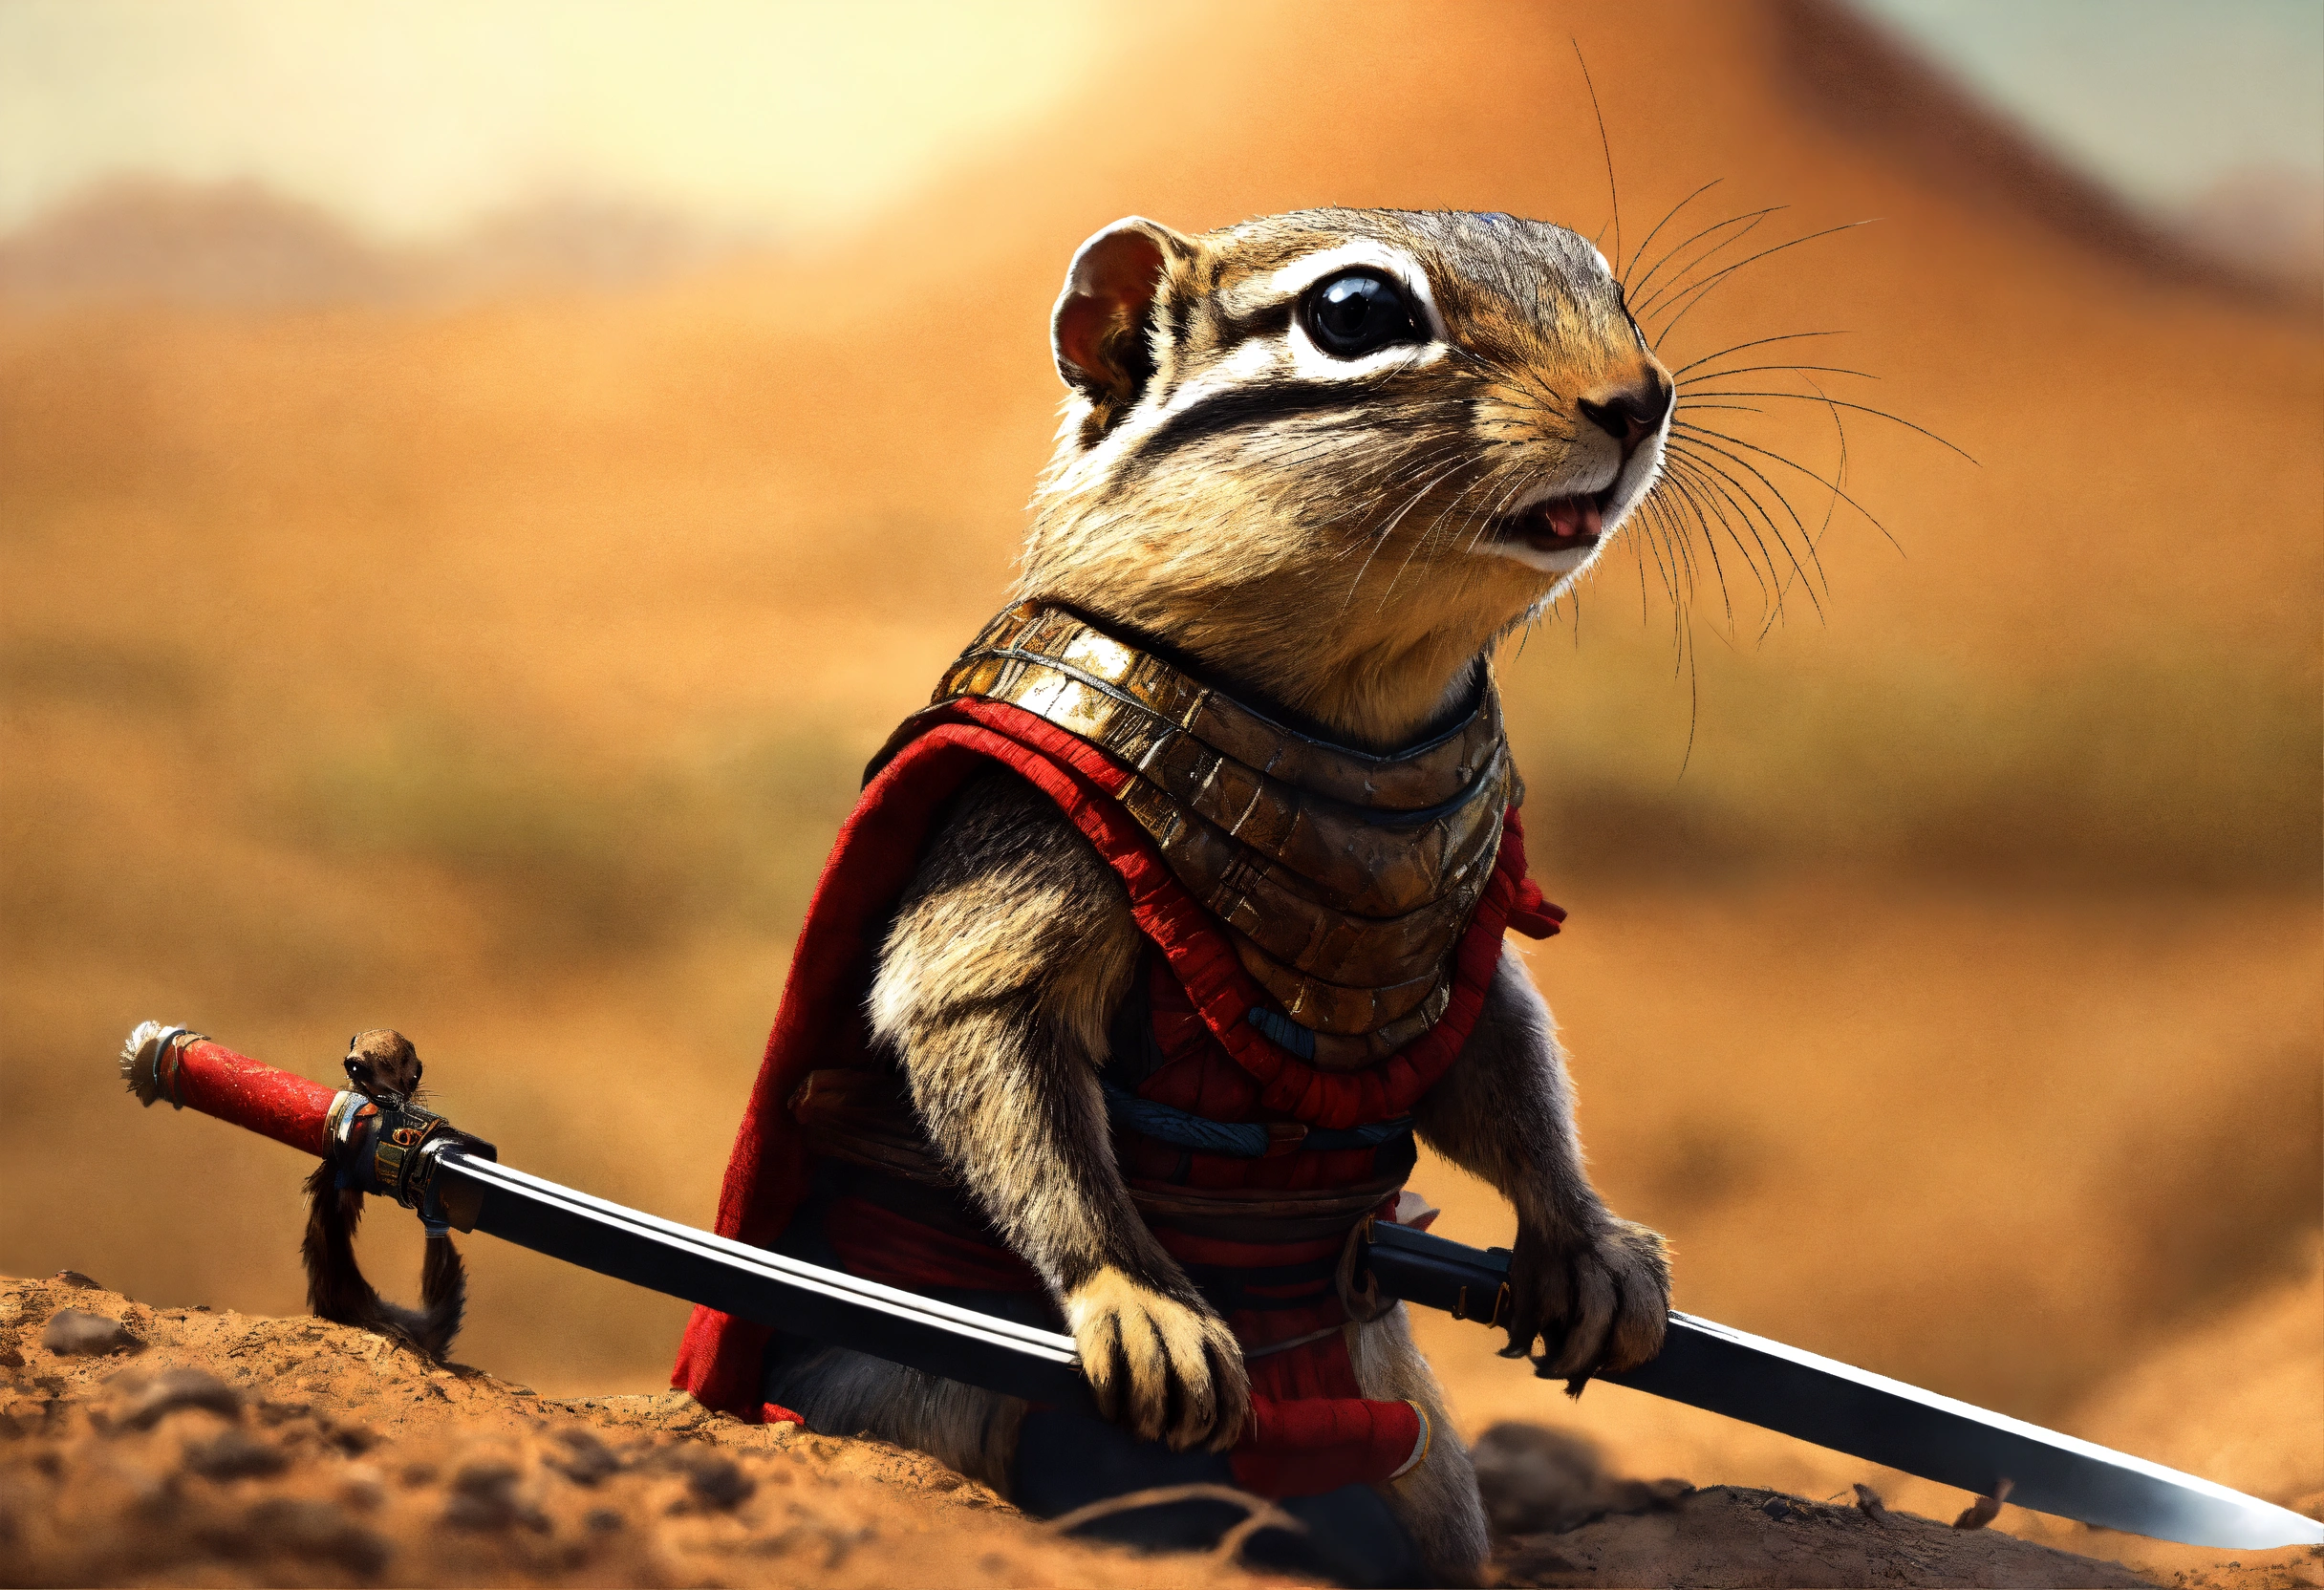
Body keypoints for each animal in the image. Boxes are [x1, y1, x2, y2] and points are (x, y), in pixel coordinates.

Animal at [755, 209, 1674, 1583]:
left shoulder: (1462, 928)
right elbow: (979, 1019)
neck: (1351, 711)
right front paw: (1138, 1301)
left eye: (1611, 289)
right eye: (1355, 312)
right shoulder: (1022, 836)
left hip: (1410, 1448)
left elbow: (1498, 1058)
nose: (1639, 396)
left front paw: (1591, 1246)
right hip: (908, 1393)